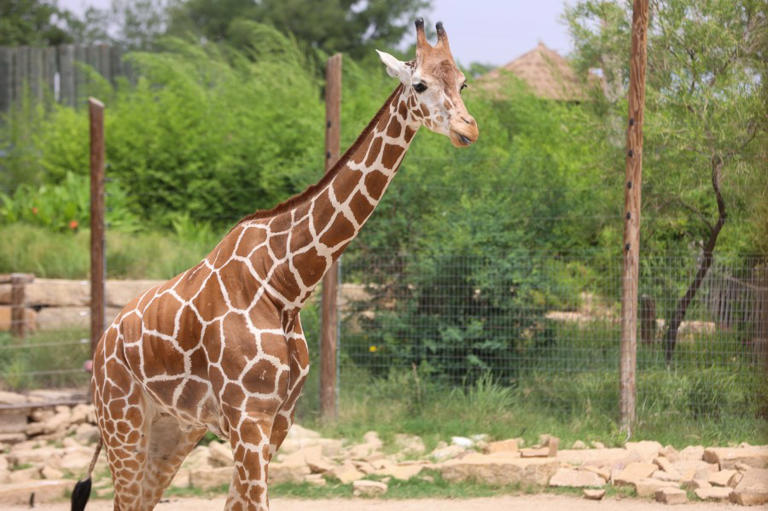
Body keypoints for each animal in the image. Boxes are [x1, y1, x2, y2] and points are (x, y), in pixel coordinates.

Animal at [72, 18, 478, 511]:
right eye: (419, 84)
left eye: (462, 82)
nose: (469, 128)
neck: (286, 283)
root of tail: (101, 344)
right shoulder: (248, 416)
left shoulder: (278, 419)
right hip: (122, 422)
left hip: (174, 431)